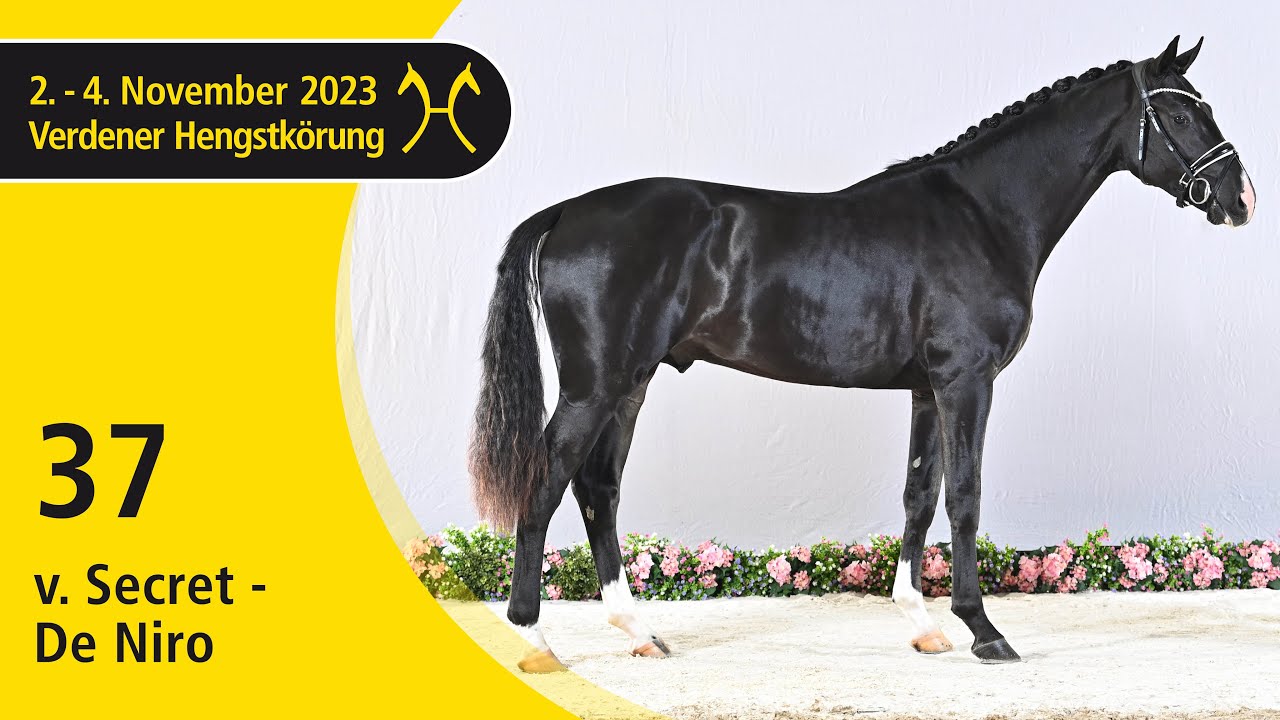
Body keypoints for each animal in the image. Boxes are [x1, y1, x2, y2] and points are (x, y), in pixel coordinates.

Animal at [467, 36, 1255, 672]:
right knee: (545, 484)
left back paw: (638, 632)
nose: (1240, 197)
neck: (983, 214)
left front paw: (924, 625)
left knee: (598, 487)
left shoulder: (927, 389)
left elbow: (919, 494)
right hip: (594, 385)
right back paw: (535, 641)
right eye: (1180, 116)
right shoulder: (967, 381)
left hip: (629, 383)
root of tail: (567, 212)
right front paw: (984, 631)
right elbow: (965, 497)